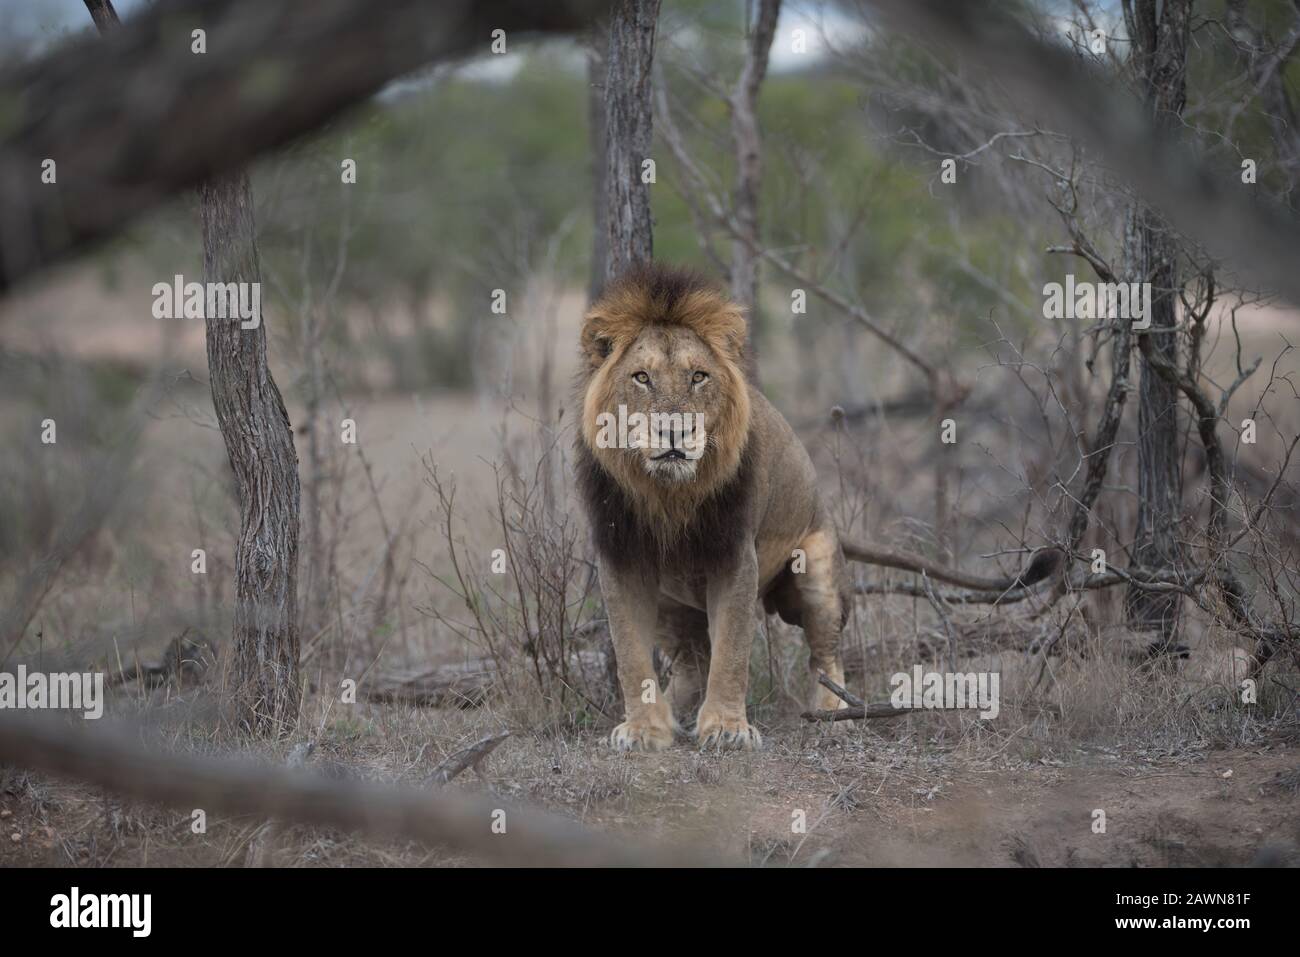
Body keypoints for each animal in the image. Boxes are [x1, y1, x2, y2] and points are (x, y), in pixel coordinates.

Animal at [576, 263, 850, 751]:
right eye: (641, 377)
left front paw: (726, 728)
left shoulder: (736, 556)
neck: (669, 494)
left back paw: (834, 711)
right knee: (691, 662)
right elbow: (630, 654)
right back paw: (672, 712)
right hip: (673, 606)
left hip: (817, 569)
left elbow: (732, 650)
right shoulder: (622, 558)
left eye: (699, 376)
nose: (674, 430)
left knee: (826, 653)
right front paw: (645, 729)